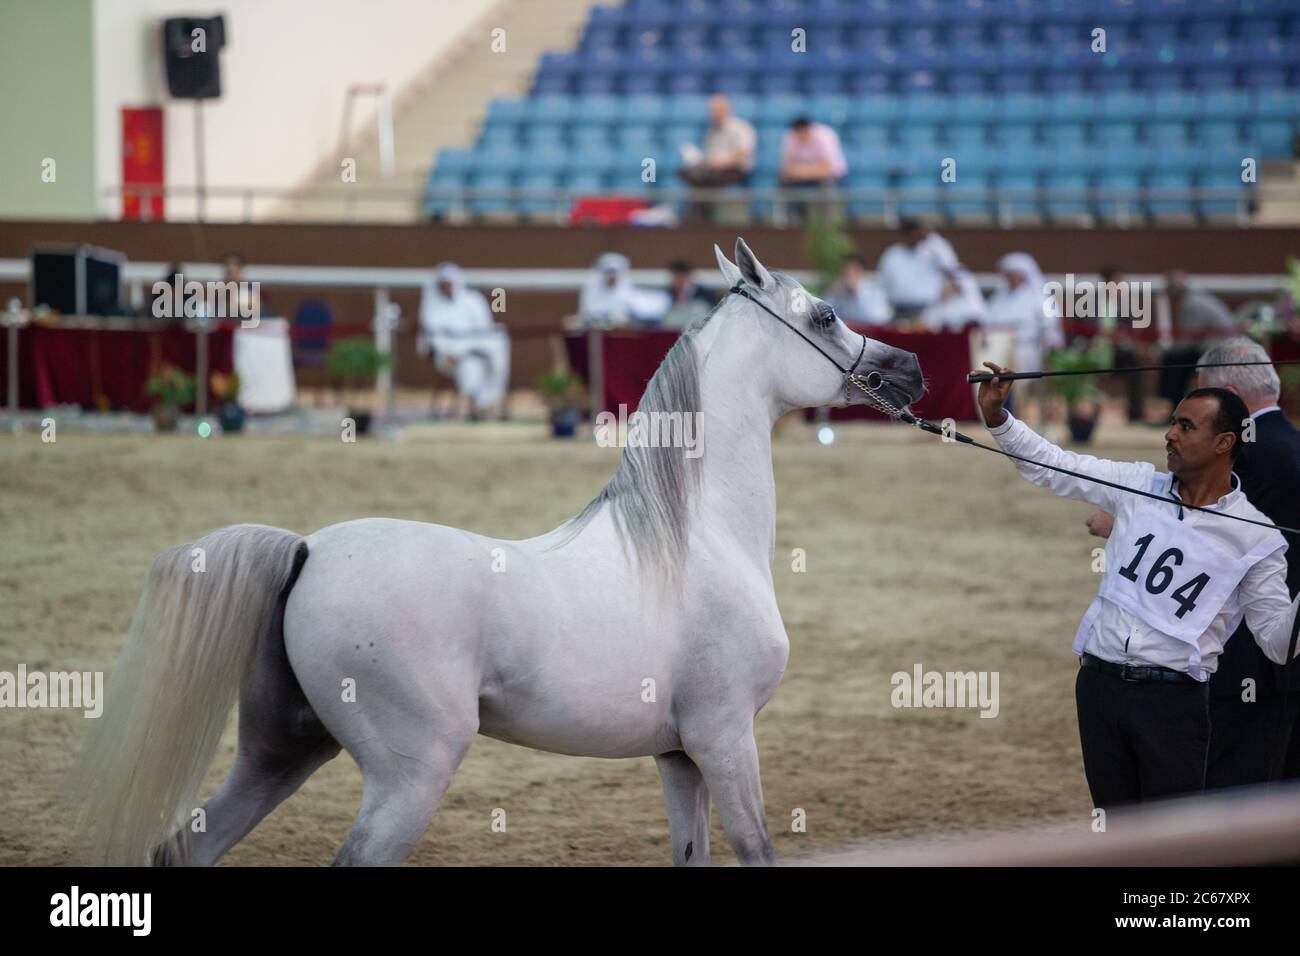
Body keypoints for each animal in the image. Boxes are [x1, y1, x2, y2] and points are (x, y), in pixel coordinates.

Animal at [71, 239, 924, 866]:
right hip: (410, 774)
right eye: (824, 314)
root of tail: (307, 550)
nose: (910, 370)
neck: (699, 537)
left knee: (185, 847)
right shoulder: (725, 737)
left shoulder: (680, 755)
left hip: (280, 751)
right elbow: (757, 850)